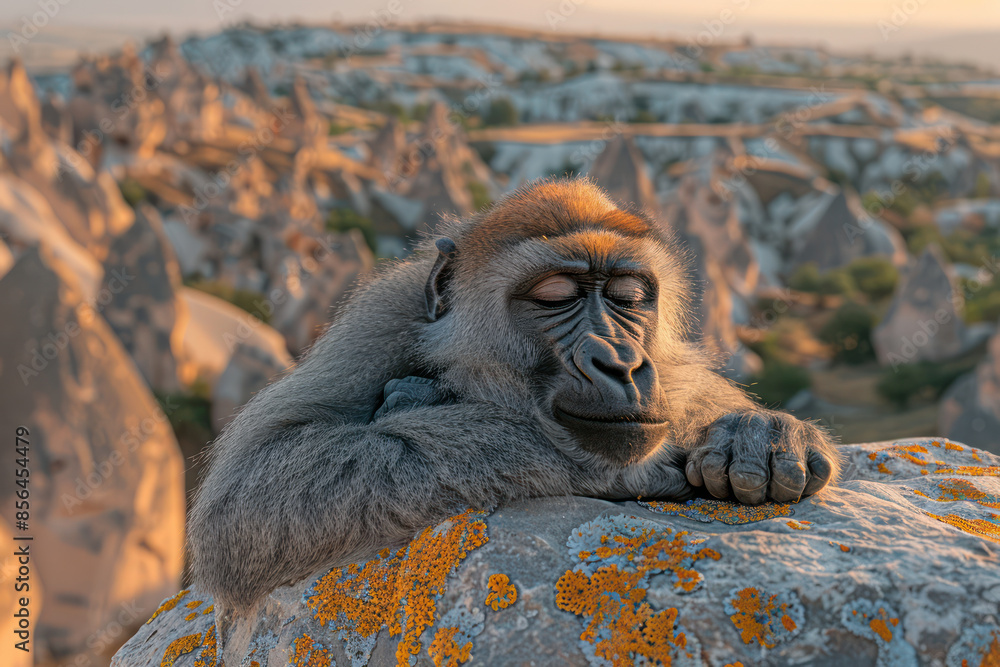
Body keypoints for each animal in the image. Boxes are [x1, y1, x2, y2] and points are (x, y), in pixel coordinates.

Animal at [187, 178, 840, 616]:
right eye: (554, 297)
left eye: (629, 295)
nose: (622, 362)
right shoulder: (381, 320)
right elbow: (250, 493)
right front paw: (609, 471)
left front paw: (757, 433)